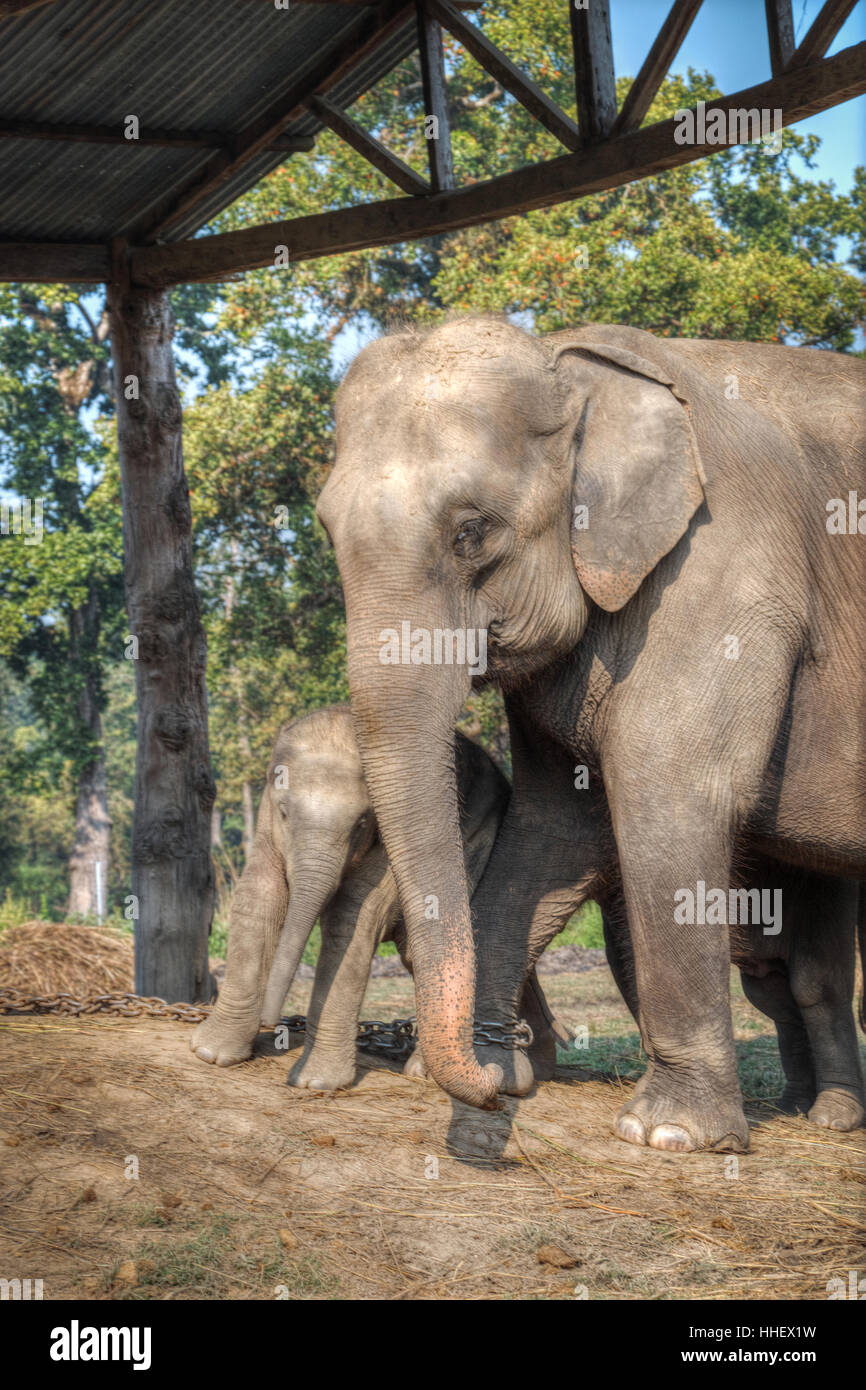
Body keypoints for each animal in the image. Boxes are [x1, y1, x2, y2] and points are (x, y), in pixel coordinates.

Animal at [191, 704, 558, 1090]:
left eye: (362, 823)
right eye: (284, 813)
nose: (271, 1022)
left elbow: (352, 915)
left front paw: (315, 1083)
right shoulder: (265, 824)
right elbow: (259, 897)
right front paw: (211, 1054)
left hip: (476, 846)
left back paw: (433, 1071)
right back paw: (532, 1066)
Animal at [316, 313, 866, 1151]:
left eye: (472, 531)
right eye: (325, 527)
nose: (487, 1089)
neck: (570, 365)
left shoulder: (722, 571)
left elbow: (666, 792)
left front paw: (671, 1135)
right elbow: (556, 829)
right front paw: (498, 1073)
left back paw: (828, 1118)